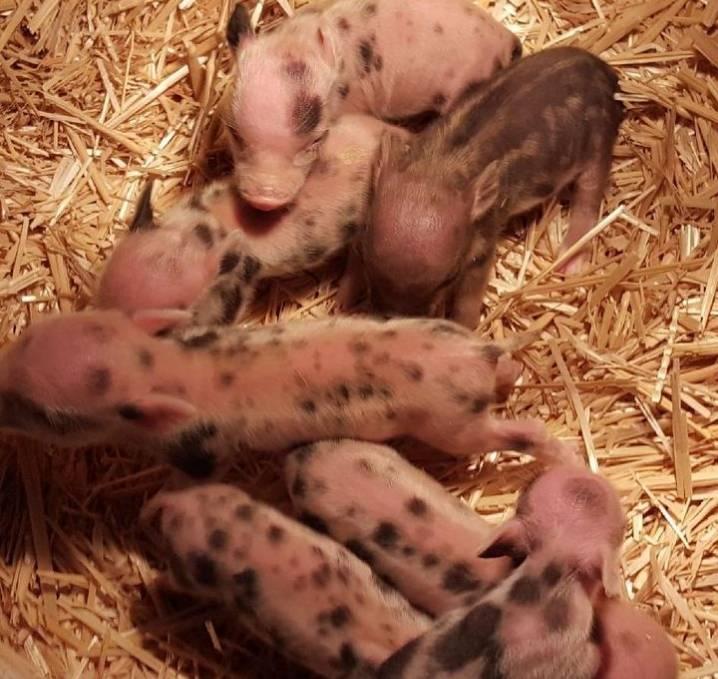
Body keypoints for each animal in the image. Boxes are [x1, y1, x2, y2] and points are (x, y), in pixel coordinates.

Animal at [0, 310, 576, 479]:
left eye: (50, 416)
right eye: (28, 334)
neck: (168, 366)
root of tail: (476, 352)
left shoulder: (202, 446)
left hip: (450, 423)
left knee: (516, 431)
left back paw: (560, 457)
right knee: (506, 371)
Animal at [358, 46, 625, 328]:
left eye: (449, 278)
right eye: (365, 259)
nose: (392, 318)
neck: (439, 168)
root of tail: (607, 73)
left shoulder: (484, 235)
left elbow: (470, 296)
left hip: (599, 138)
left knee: (590, 192)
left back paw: (570, 260)